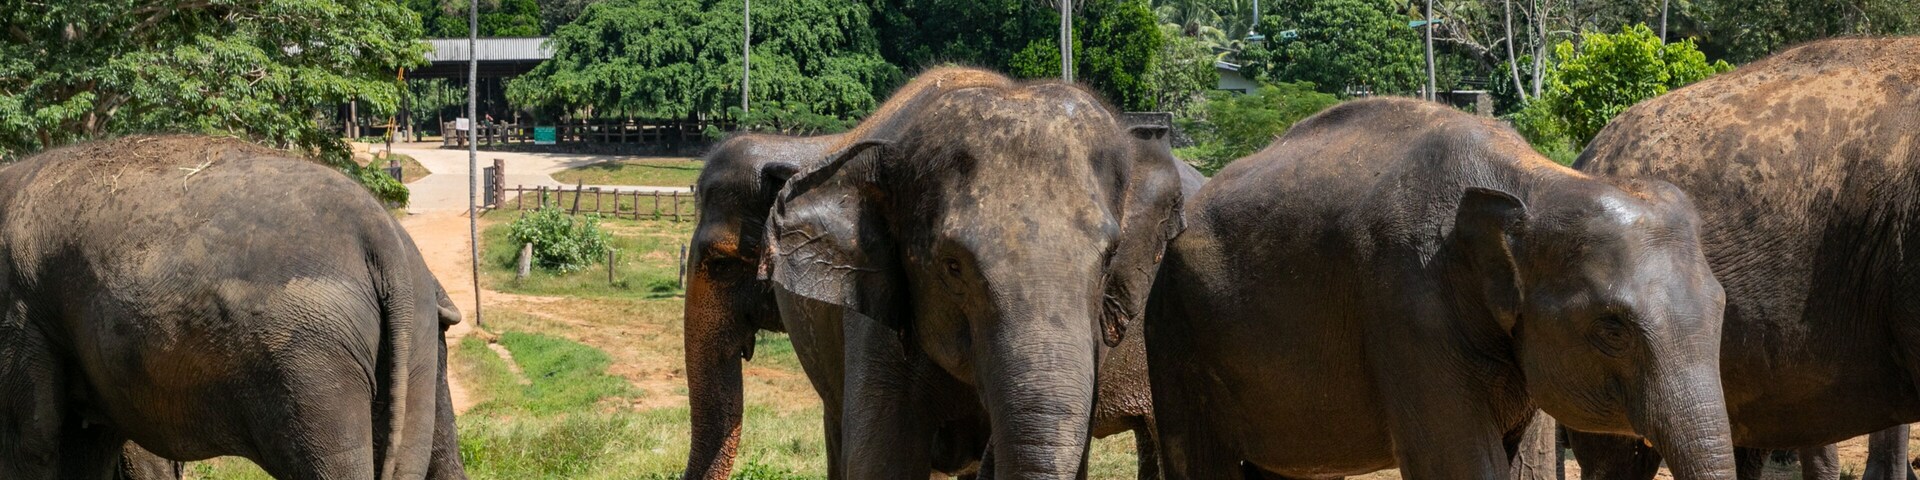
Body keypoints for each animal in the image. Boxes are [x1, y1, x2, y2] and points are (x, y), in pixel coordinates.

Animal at [1145, 97, 1736, 479]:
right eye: (1613, 329)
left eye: (1722, 309)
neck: (1533, 181)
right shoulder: (1408, 299)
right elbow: (1457, 463)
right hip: (1174, 329)